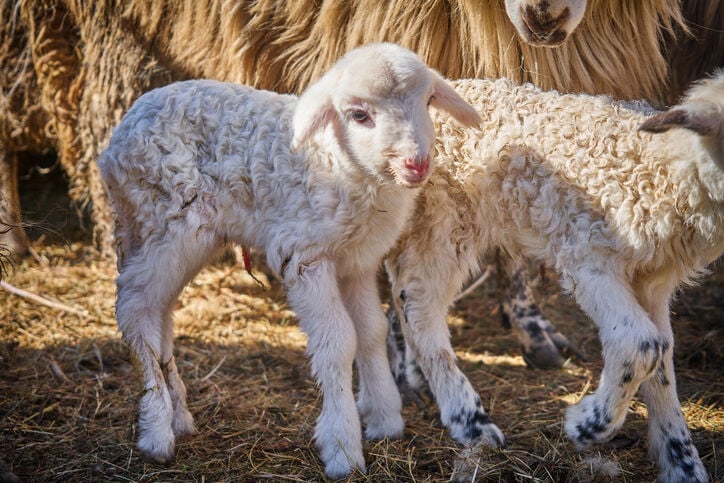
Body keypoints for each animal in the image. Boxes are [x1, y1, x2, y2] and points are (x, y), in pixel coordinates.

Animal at [97, 43, 482, 478]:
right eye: (359, 115)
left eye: (428, 100)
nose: (416, 164)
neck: (340, 164)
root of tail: (118, 137)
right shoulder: (305, 255)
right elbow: (339, 341)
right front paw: (343, 447)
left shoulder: (357, 263)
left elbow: (371, 331)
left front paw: (384, 420)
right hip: (167, 217)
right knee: (136, 305)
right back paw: (157, 430)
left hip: (163, 233)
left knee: (158, 311)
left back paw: (178, 415)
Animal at [384, 72, 724, 482]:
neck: (660, 170)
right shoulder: (589, 253)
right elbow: (641, 344)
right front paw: (587, 424)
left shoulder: (653, 279)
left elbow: (663, 355)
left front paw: (681, 461)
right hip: (443, 219)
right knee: (420, 309)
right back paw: (470, 420)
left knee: (403, 298)